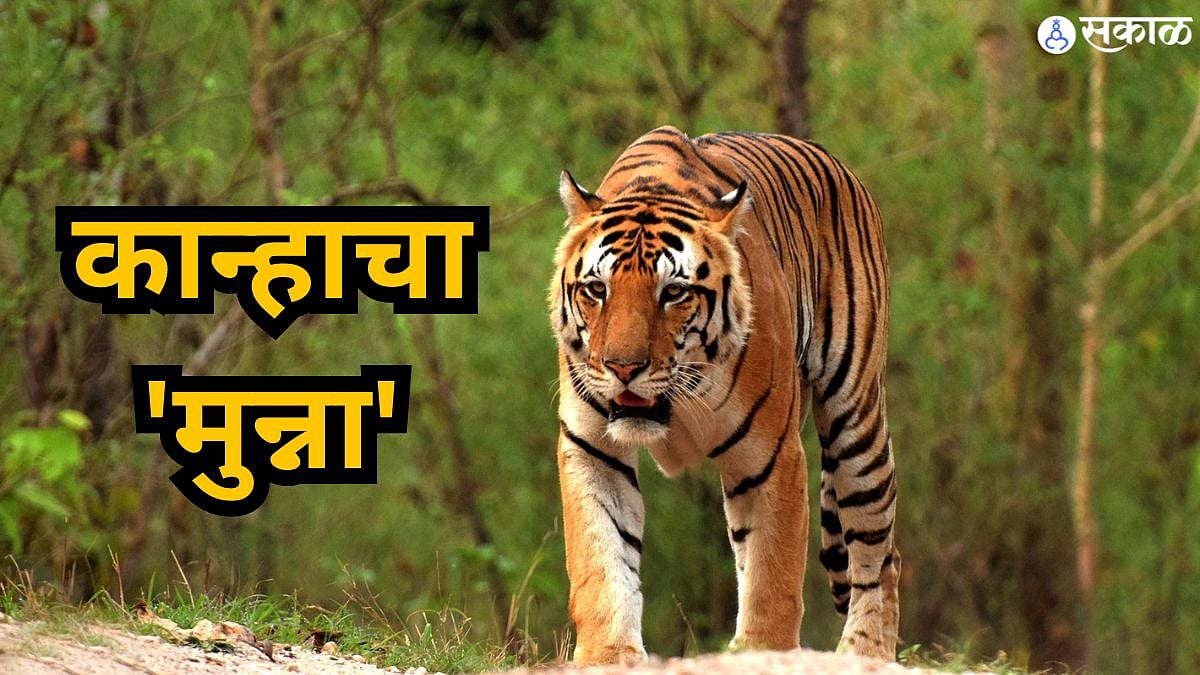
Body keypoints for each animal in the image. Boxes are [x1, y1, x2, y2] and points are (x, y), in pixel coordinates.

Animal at [549, 126, 899, 664]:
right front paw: (608, 655)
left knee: (879, 553)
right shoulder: (592, 448)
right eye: (596, 289)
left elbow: (773, 574)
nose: (623, 368)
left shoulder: (772, 457)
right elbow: (601, 561)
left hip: (856, 422)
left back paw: (864, 654)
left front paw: (763, 652)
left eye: (673, 292)